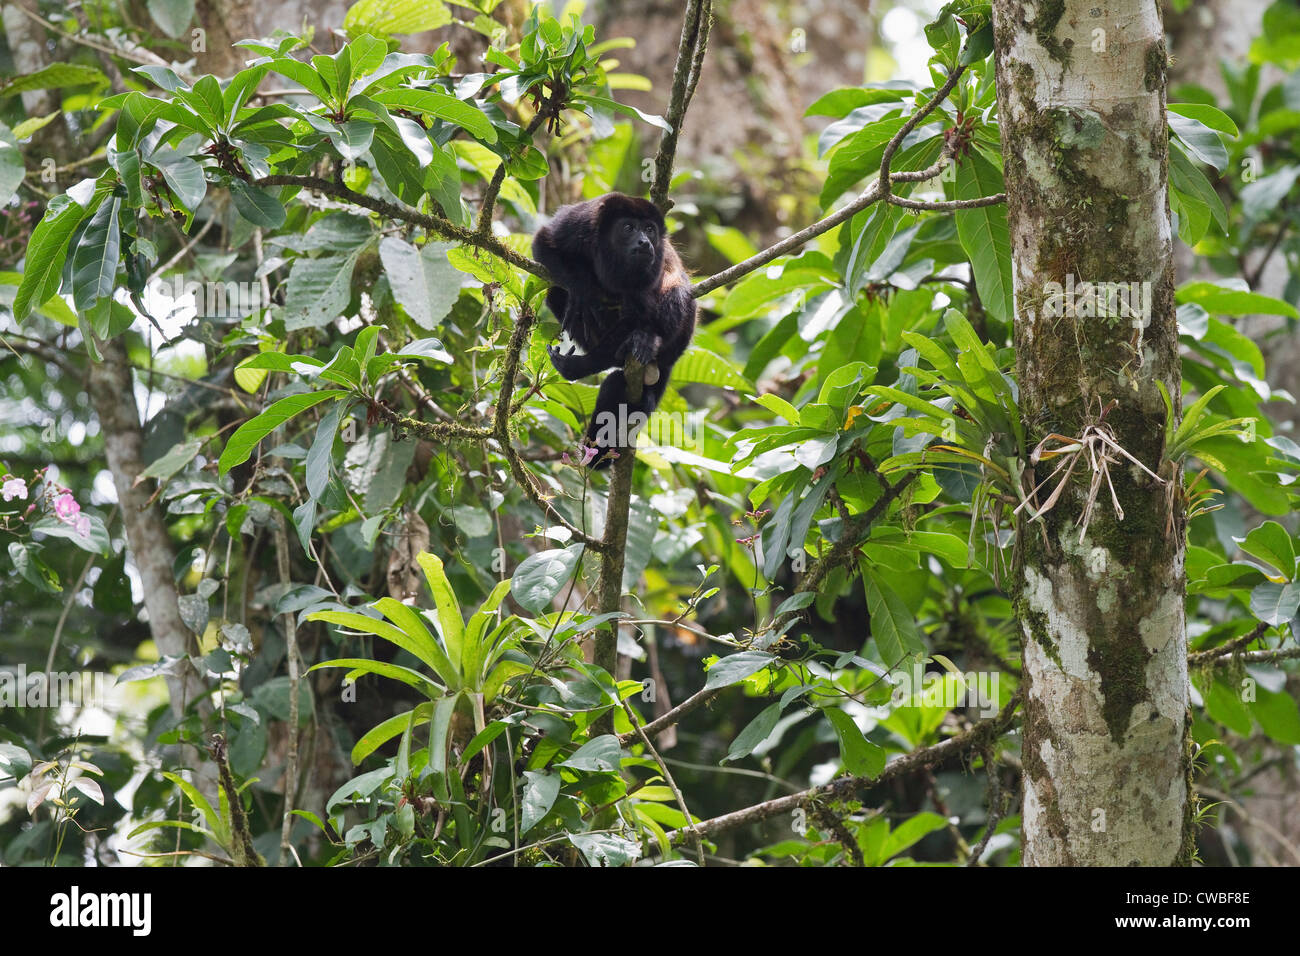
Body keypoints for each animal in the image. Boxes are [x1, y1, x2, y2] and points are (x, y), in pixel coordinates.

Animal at [532, 193, 696, 467]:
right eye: (628, 228)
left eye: (649, 229)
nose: (644, 242)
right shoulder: (578, 222)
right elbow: (544, 243)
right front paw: (582, 292)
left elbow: (654, 298)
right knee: (555, 292)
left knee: (680, 292)